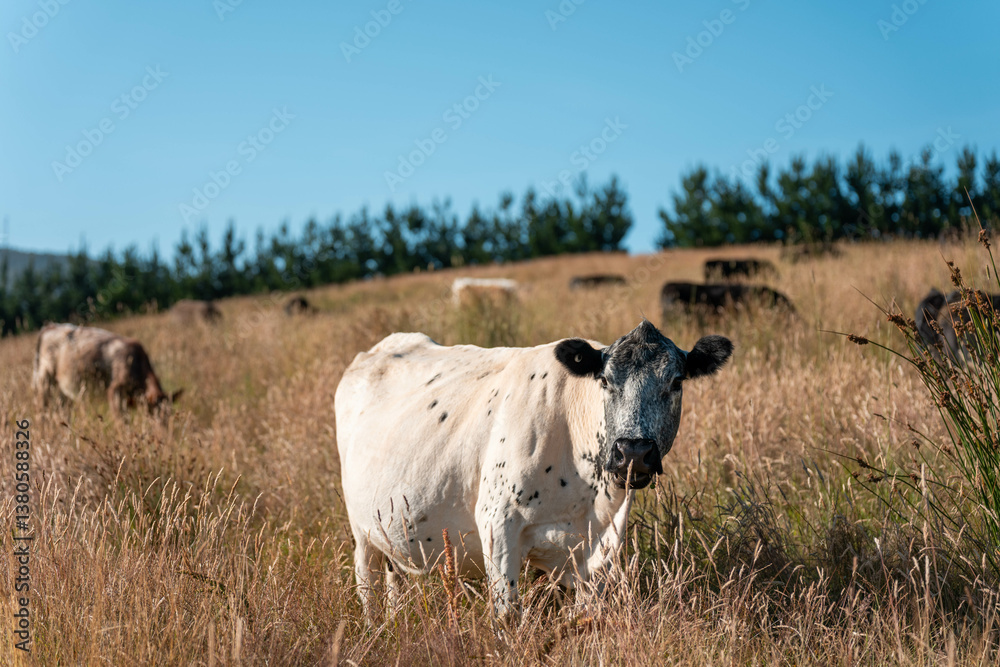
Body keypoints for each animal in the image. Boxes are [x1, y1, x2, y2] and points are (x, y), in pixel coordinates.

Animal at [32, 323, 181, 417]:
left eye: (168, 415)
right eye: (152, 413)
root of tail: (51, 326)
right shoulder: (115, 392)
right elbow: (122, 422)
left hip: (62, 389)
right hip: (45, 379)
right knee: (41, 410)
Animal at [335, 320, 733, 620]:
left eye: (676, 382)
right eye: (605, 380)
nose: (632, 452)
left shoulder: (599, 547)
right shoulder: (497, 525)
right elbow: (508, 616)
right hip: (360, 531)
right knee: (367, 583)